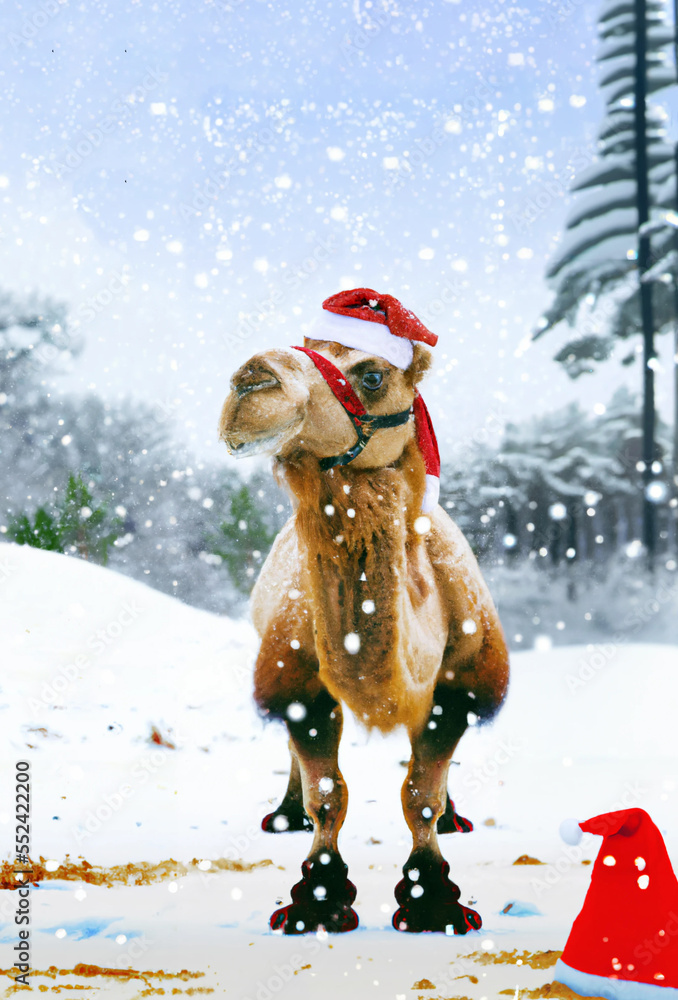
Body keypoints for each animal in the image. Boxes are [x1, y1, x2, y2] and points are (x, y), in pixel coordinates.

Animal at [218, 289, 509, 936]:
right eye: (305, 343)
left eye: (371, 374)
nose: (252, 381)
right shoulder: (298, 686)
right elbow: (328, 794)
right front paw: (317, 901)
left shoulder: (459, 686)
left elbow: (420, 794)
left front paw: (434, 902)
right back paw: (284, 817)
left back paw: (455, 817)